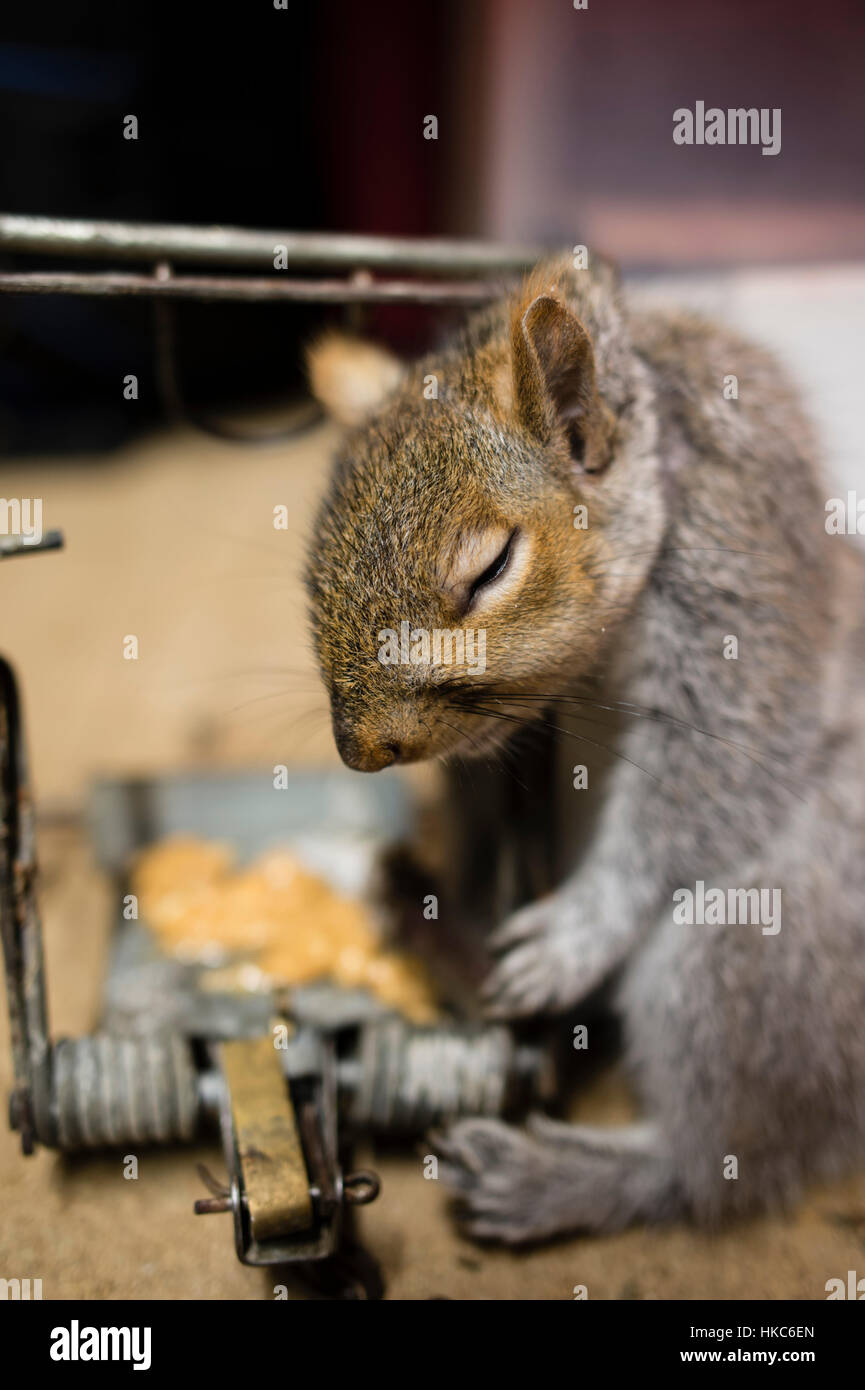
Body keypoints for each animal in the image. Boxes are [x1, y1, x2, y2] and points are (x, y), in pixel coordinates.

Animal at [303, 253, 865, 1245]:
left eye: (489, 568)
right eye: (311, 571)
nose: (364, 751)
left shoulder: (744, 577)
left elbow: (713, 775)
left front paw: (573, 934)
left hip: (751, 944)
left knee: (713, 1165)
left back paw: (551, 1175)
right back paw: (432, 921)